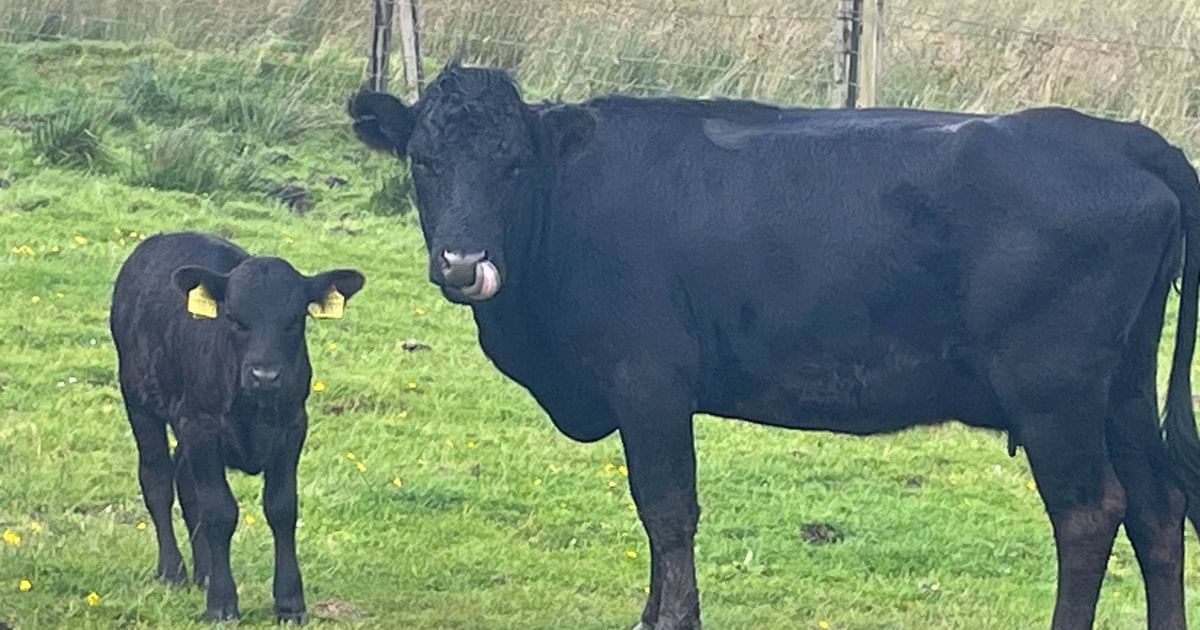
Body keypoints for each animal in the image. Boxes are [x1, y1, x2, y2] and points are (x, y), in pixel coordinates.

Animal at [109, 231, 365, 623]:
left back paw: (204, 572)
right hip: (139, 400)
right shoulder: (202, 426)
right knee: (157, 479)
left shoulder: (292, 427)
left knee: (185, 482)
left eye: (294, 320)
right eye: (234, 318)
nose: (265, 375)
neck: (252, 409)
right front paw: (221, 602)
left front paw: (289, 602)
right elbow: (218, 510)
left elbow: (281, 508)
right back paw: (173, 571)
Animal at [346, 60, 1200, 630]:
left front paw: (672, 618)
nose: (462, 263)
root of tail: (1119, 138)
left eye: (515, 165)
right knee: (1157, 509)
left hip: (1054, 393)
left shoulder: (647, 381)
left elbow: (667, 507)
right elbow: (656, 511)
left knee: (1090, 513)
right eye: (424, 161)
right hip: (1120, 388)